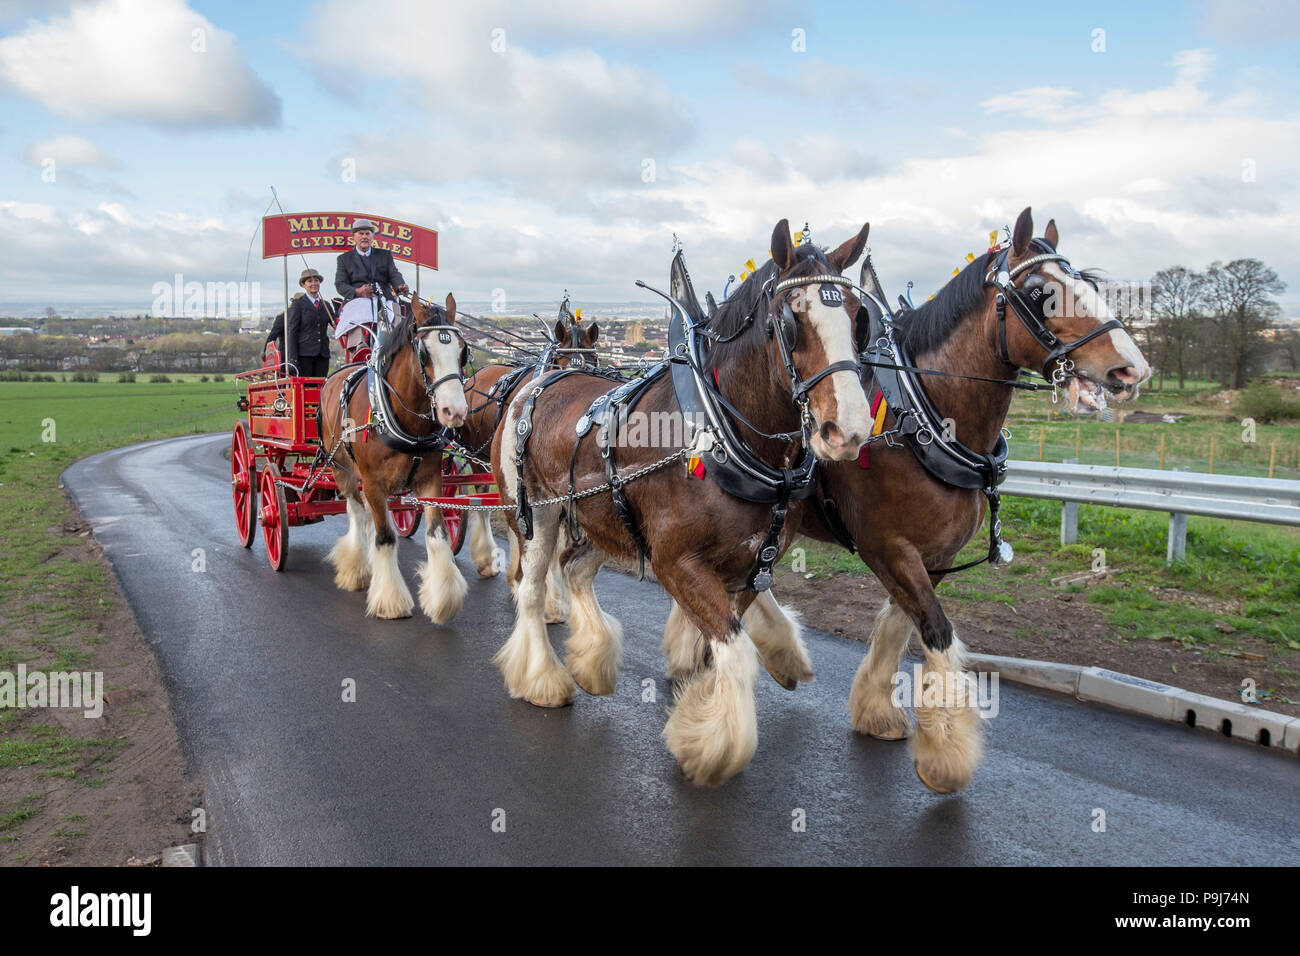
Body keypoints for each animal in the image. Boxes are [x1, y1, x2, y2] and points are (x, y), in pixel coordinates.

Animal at [317, 293, 471, 621]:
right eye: (424, 352)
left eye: (463, 350)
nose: (455, 412)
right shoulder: (373, 482)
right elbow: (385, 537)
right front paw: (390, 601)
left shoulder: (431, 480)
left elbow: (436, 535)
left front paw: (443, 599)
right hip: (341, 468)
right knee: (356, 511)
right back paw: (356, 569)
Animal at [457, 306, 602, 623]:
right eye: (560, 361)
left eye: (593, 362)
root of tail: (479, 373)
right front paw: (537, 594)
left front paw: (553, 601)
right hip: (481, 459)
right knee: (485, 504)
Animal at [490, 219, 874, 786]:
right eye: (790, 320)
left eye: (857, 316)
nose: (847, 430)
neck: (719, 430)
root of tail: (541, 378)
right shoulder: (677, 563)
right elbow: (736, 655)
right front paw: (714, 749)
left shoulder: (746, 570)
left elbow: (719, 652)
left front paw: (699, 715)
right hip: (538, 512)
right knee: (534, 590)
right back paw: (543, 679)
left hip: (611, 517)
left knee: (576, 568)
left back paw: (593, 661)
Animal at [665, 207, 1152, 793]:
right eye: (1041, 293)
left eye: (1091, 285)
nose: (1131, 369)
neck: (924, 411)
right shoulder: (888, 545)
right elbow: (936, 630)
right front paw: (947, 753)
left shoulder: (934, 555)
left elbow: (904, 624)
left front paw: (877, 709)